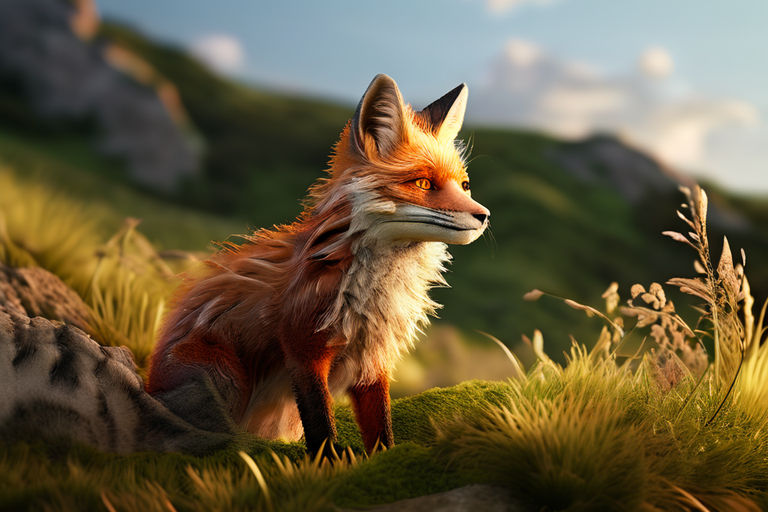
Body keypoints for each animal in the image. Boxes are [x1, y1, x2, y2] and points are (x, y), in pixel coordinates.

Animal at [147, 74, 490, 455]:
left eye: (465, 185)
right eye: (424, 183)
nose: (484, 216)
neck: (368, 292)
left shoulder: (372, 360)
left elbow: (380, 426)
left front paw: (382, 457)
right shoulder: (303, 347)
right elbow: (320, 420)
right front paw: (329, 459)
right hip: (224, 376)